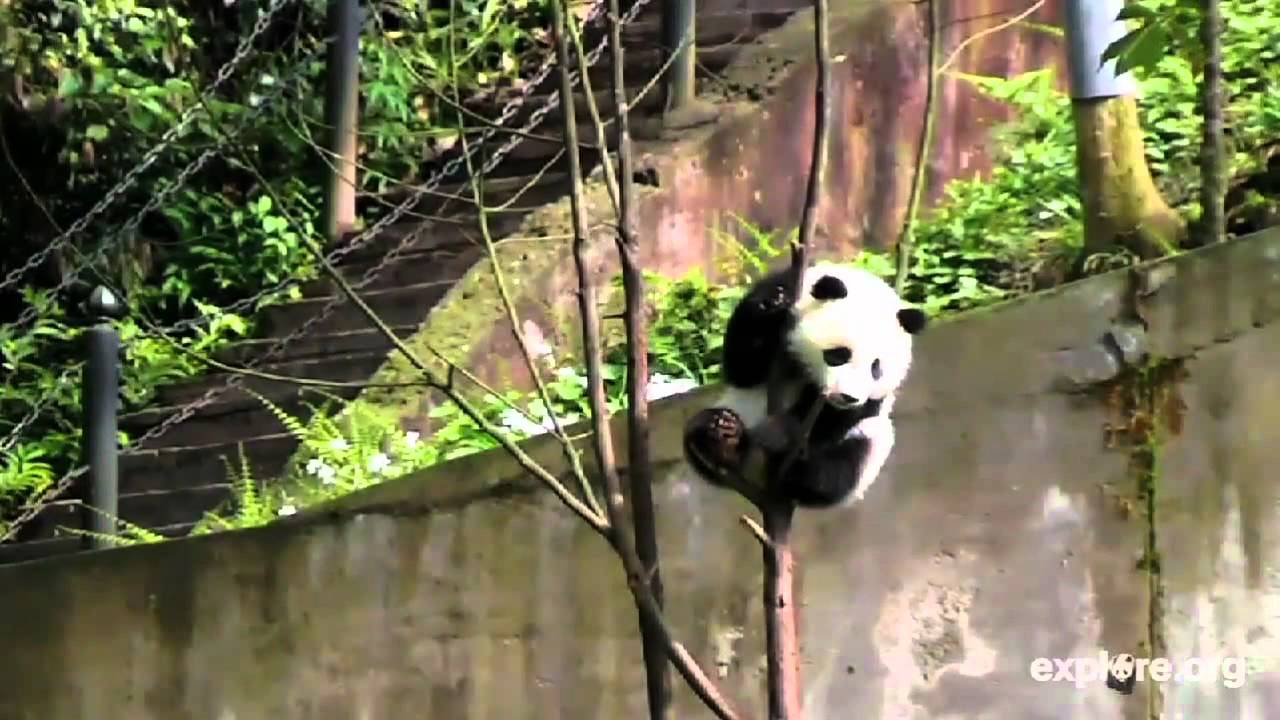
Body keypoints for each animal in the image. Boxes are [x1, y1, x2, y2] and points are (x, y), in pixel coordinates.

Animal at [682, 260, 928, 508]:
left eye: (876, 368)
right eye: (839, 354)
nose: (848, 397)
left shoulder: (867, 402)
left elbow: (835, 418)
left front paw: (782, 433)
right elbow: (742, 366)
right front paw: (774, 304)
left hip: (869, 447)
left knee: (846, 465)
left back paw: (803, 472)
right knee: (699, 430)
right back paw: (724, 438)